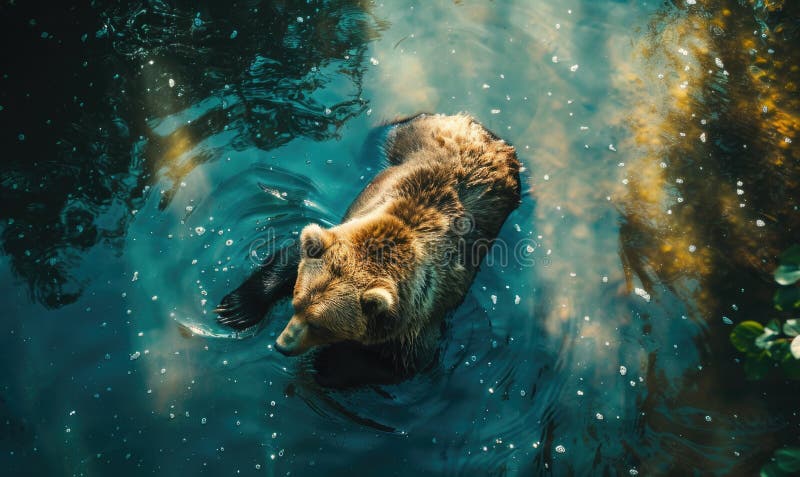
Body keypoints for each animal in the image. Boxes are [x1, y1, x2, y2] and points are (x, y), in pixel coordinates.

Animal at [215, 113, 521, 371]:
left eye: (321, 325)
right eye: (296, 303)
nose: (282, 346)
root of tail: (477, 128)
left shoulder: (419, 323)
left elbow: (397, 365)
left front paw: (326, 363)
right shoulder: (345, 229)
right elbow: (287, 258)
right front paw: (234, 309)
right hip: (403, 136)